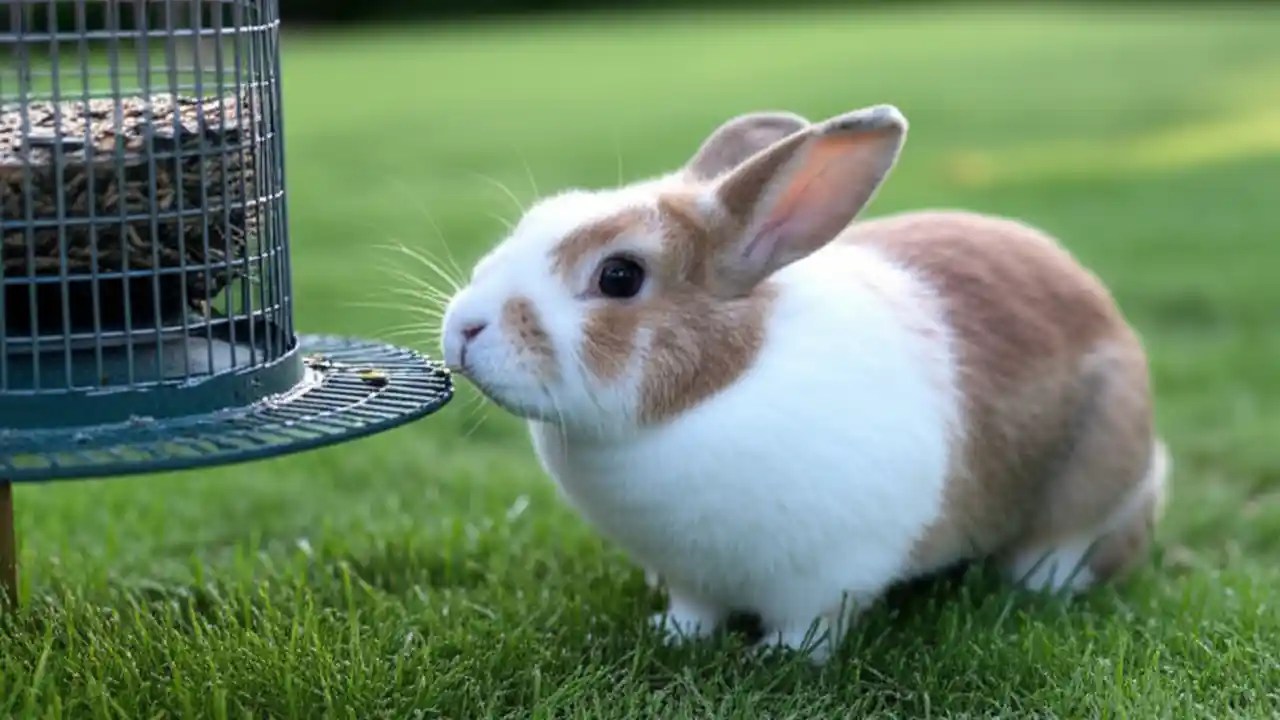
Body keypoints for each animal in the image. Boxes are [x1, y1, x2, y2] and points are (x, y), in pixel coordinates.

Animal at [439, 104, 1169, 663]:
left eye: (619, 276)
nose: (464, 328)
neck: (711, 391)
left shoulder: (827, 573)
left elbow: (810, 623)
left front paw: (778, 658)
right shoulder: (691, 574)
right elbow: (695, 610)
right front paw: (674, 636)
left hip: (1089, 486)